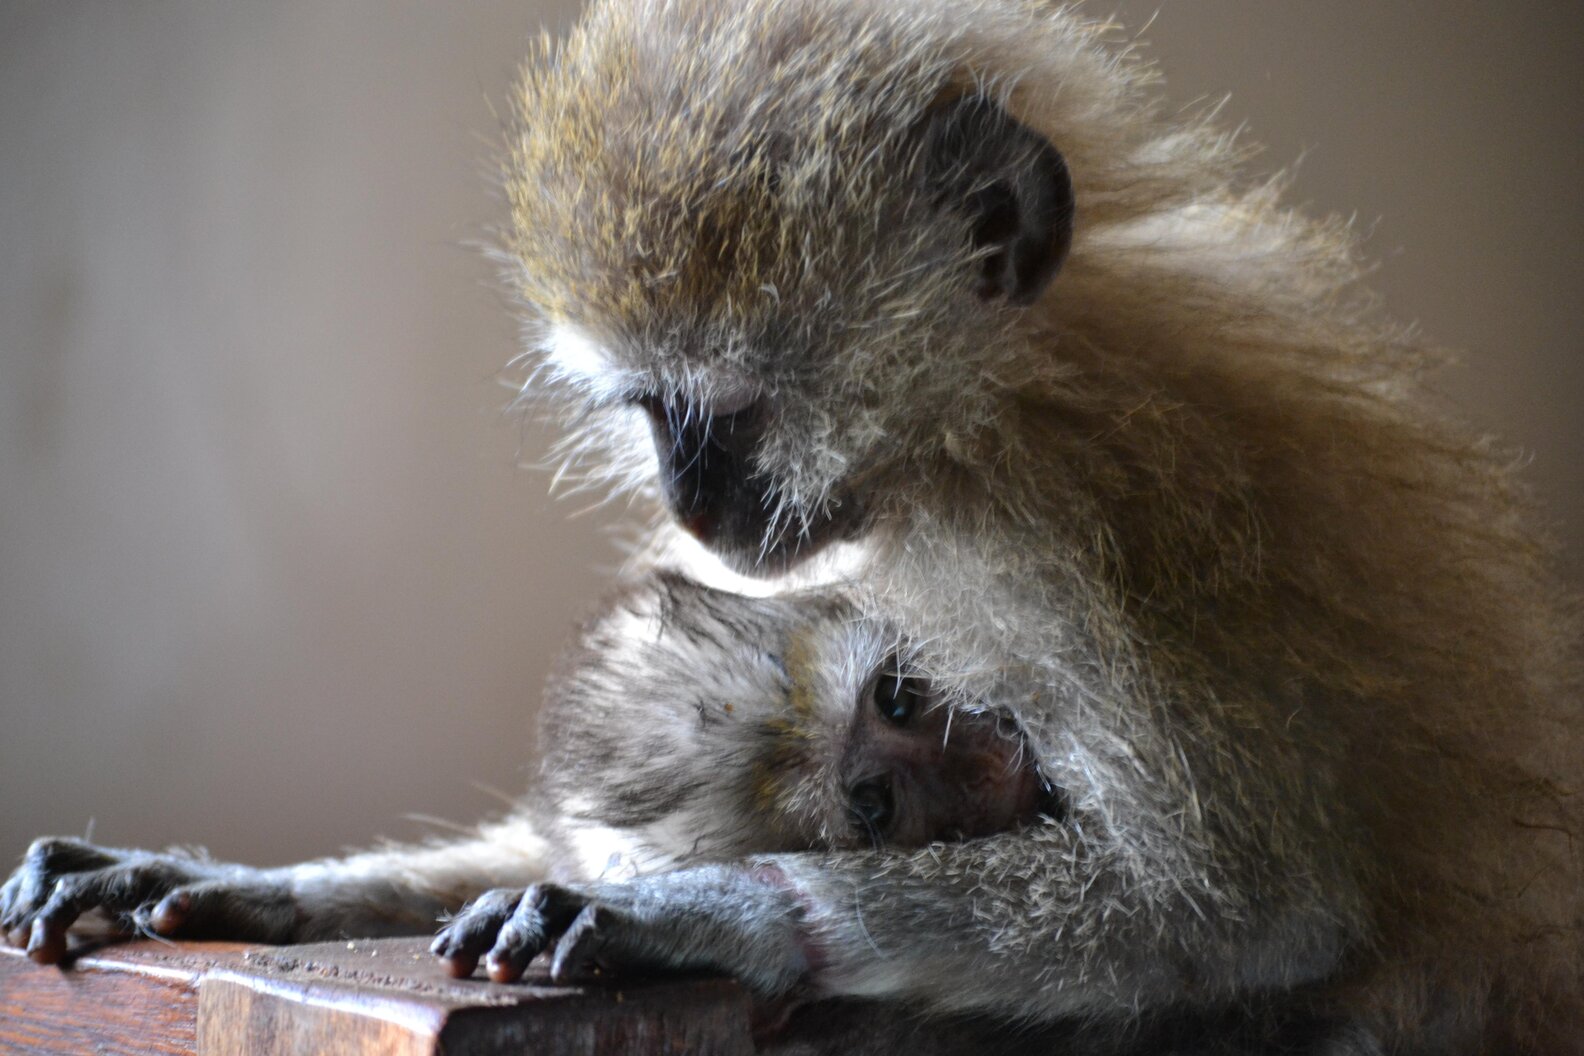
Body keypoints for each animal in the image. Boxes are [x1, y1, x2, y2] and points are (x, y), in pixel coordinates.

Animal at [479, 0, 1584, 1051]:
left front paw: (727, 916)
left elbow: (1242, 909)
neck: (996, 406)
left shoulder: (1071, 541)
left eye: (722, 415)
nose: (688, 503)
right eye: (651, 412)